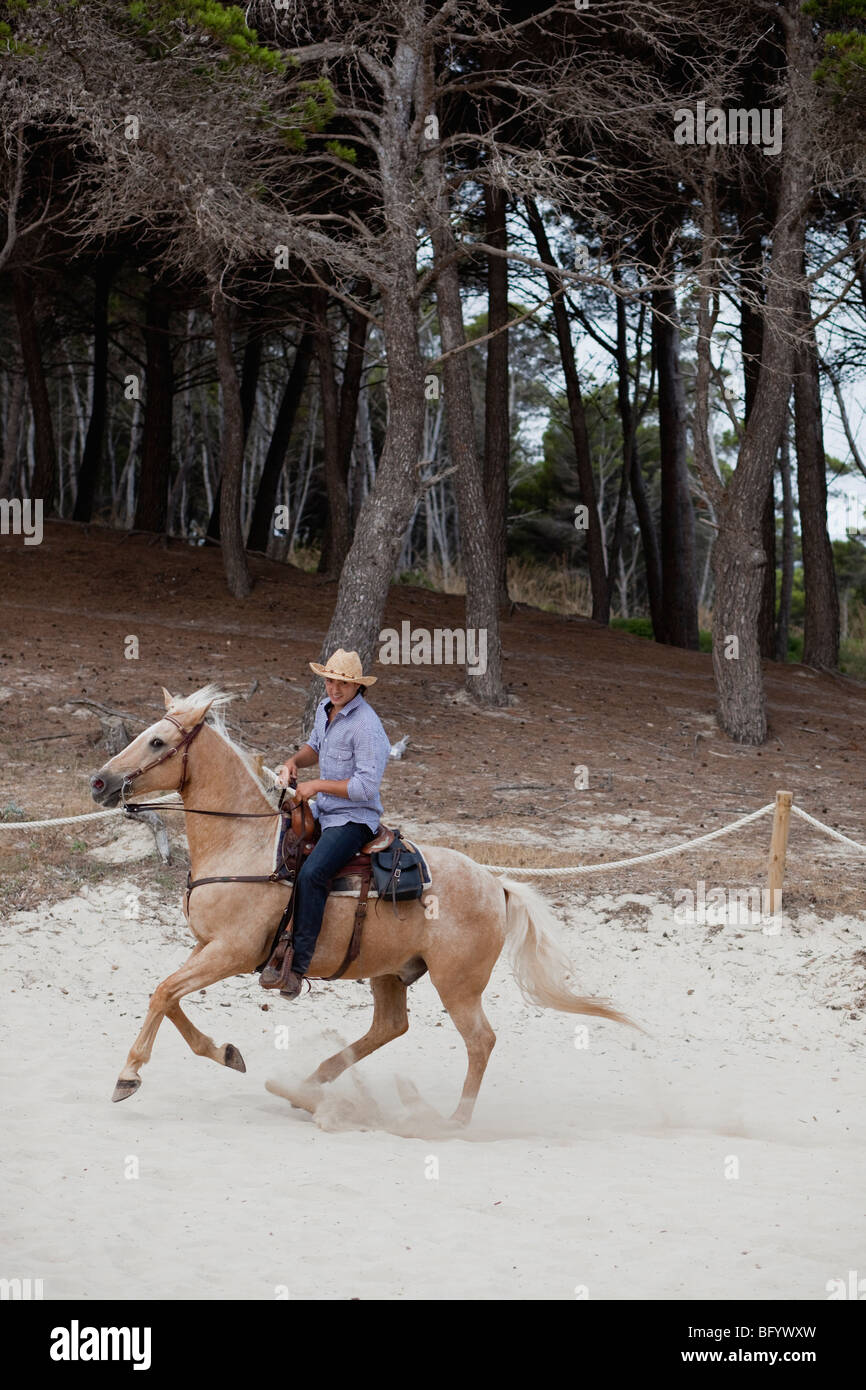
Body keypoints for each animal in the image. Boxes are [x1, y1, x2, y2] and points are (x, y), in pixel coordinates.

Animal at [89, 684, 636, 1125]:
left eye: (158, 742)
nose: (99, 782)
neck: (246, 843)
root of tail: (495, 884)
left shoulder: (233, 952)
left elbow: (164, 993)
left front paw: (127, 1076)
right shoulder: (207, 947)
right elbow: (169, 996)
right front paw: (225, 1052)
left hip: (457, 984)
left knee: (480, 1040)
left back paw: (453, 1122)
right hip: (391, 971)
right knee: (389, 1027)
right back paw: (308, 1085)